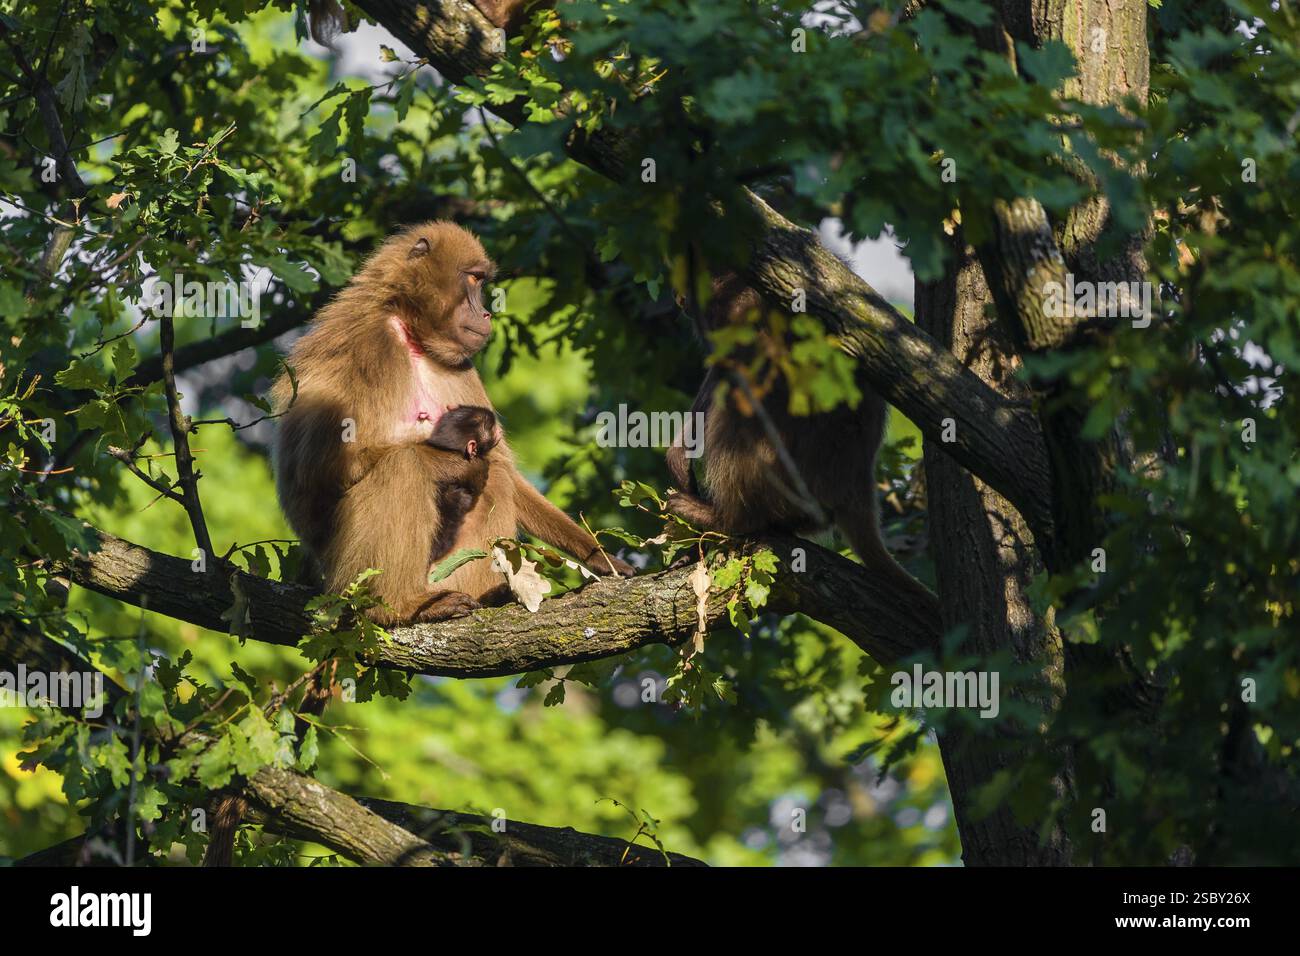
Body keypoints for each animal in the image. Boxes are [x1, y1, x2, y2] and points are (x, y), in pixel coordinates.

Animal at [271, 220, 634, 630]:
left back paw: (492, 594)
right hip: (349, 579)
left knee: (495, 480)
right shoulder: (362, 345)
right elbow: (312, 477)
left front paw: (598, 557)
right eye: (473, 280)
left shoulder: (461, 365)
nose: (486, 314)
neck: (410, 334)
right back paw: (396, 606)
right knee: (404, 465)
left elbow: (502, 466)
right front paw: (452, 462)